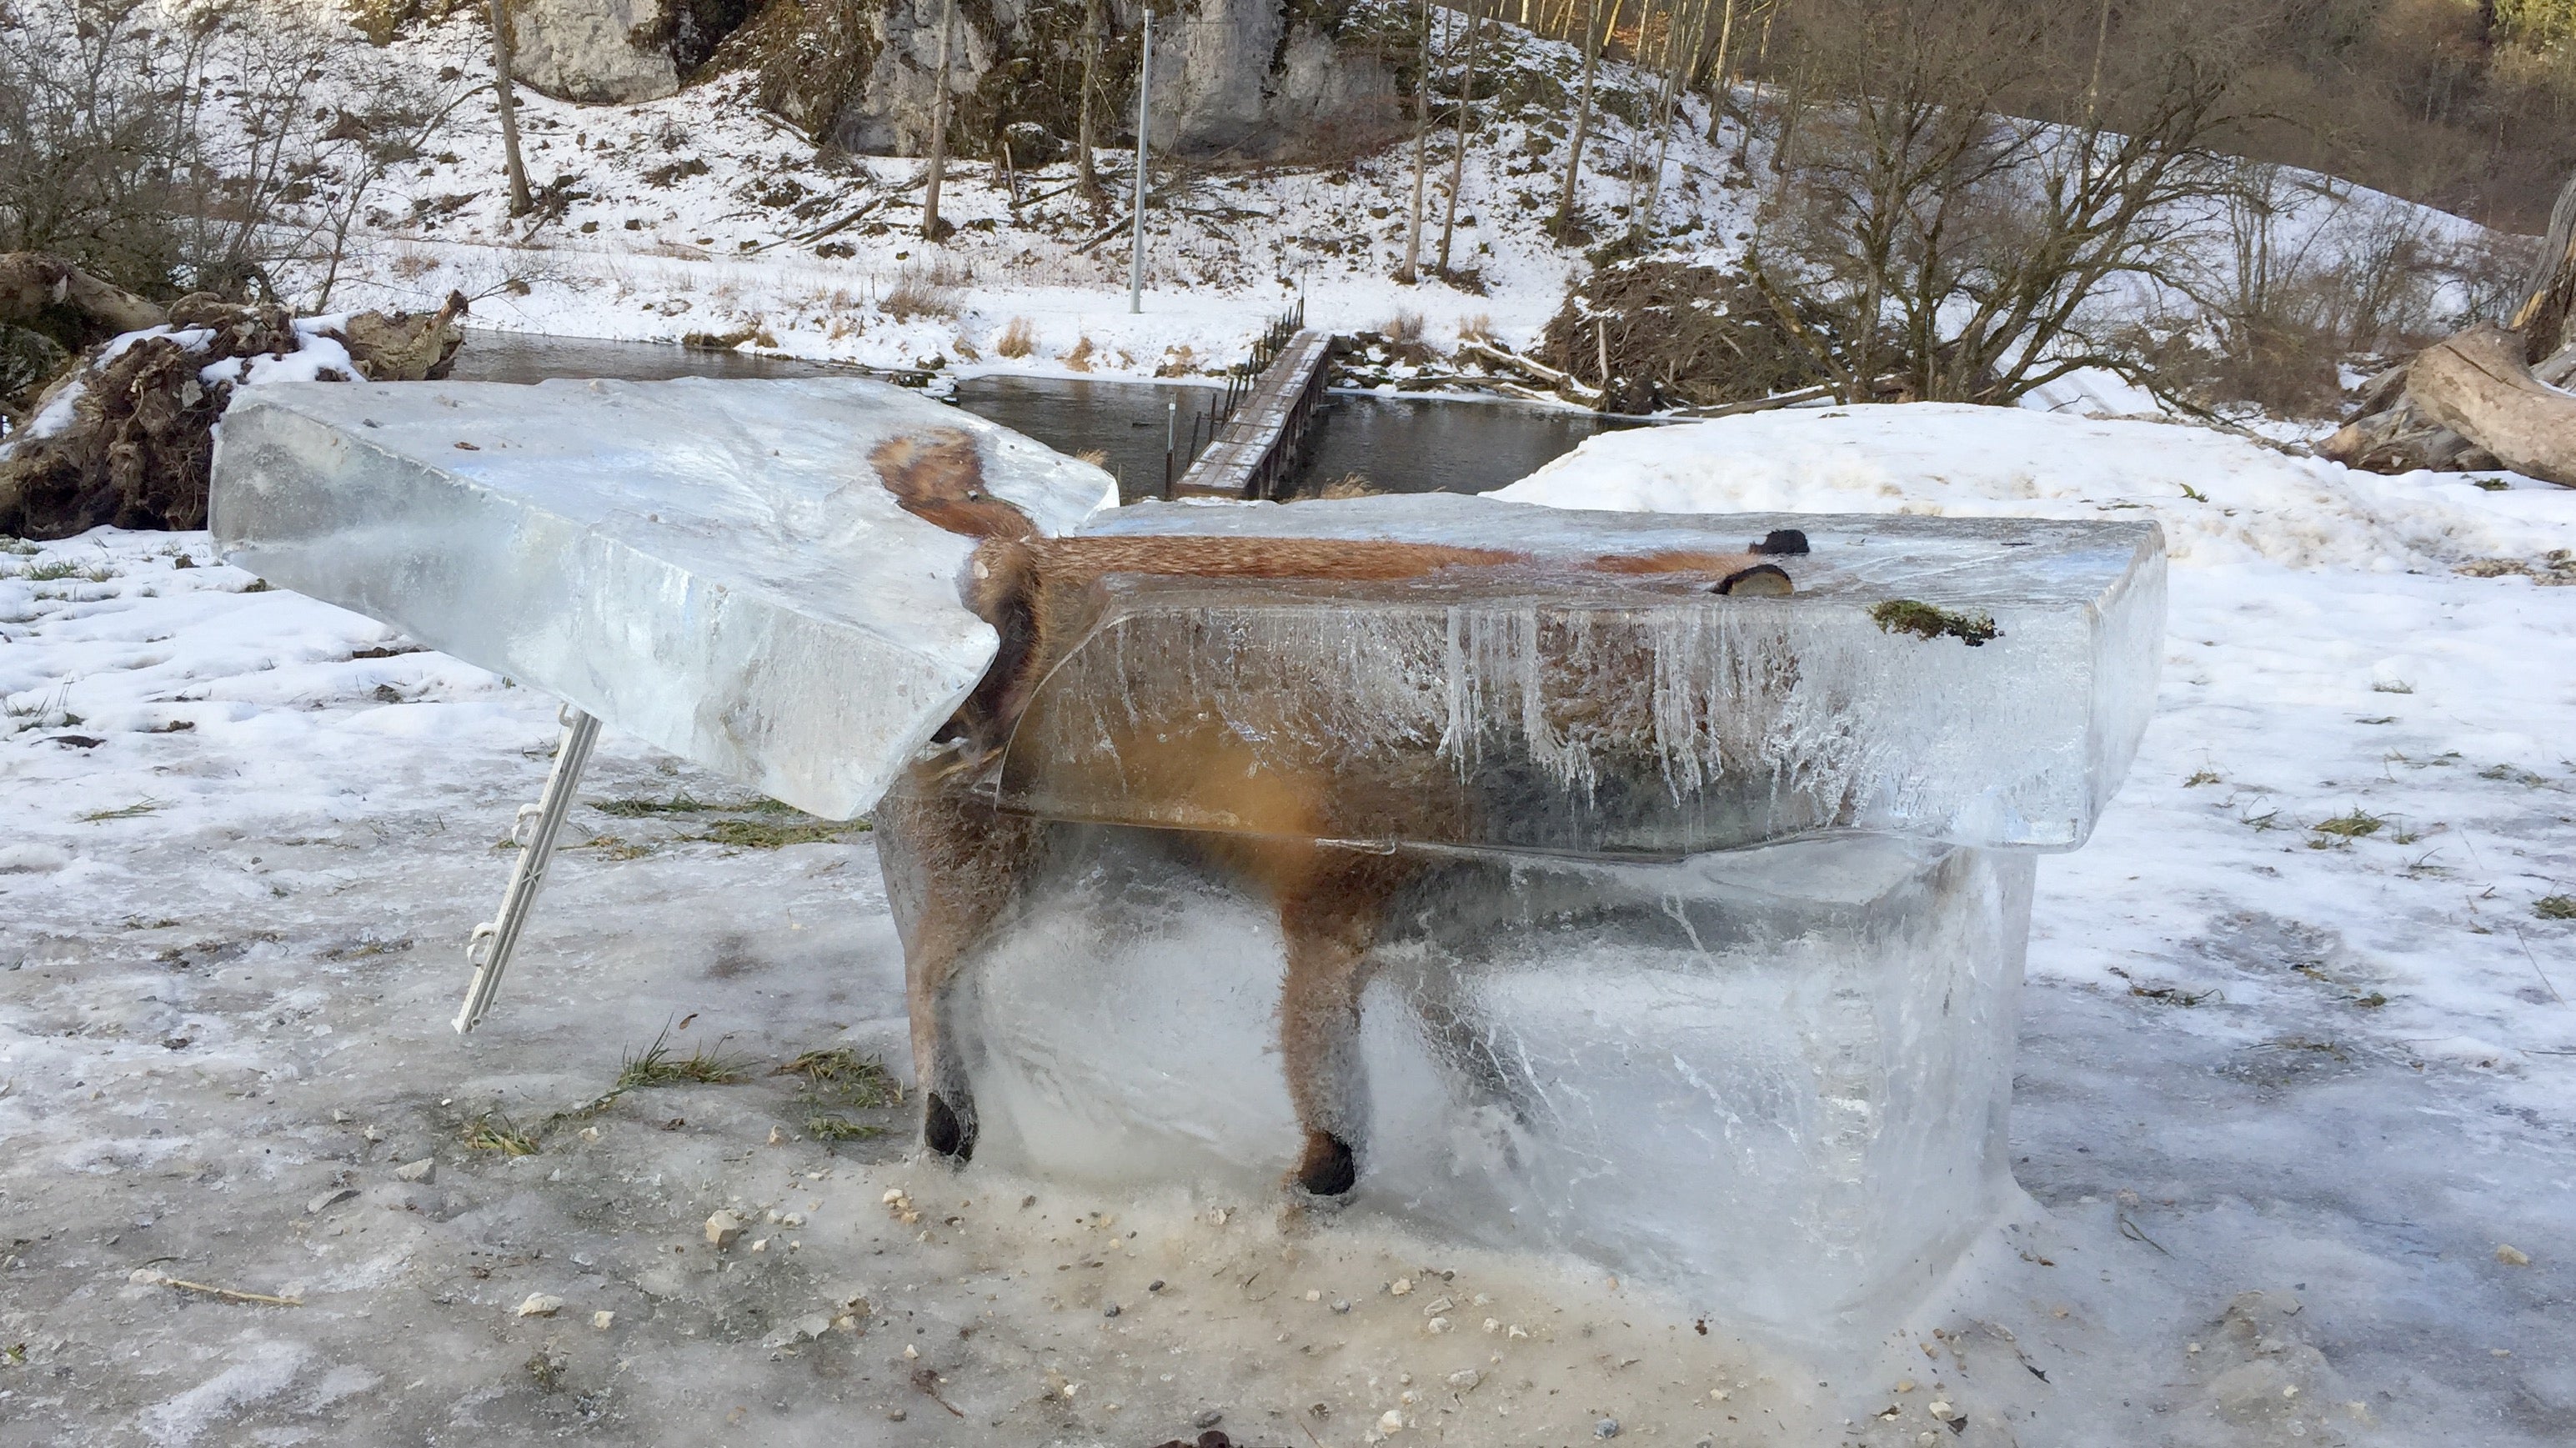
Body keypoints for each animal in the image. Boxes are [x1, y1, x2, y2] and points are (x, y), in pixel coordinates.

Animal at [868, 427, 1801, 1197]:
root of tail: (1031, 554)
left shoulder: (1435, 946)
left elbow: (1492, 1074)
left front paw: (1509, 1149)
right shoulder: (1329, 918)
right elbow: (1339, 1127)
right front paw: (1320, 1191)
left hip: (1112, 896)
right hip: (1011, 878)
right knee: (930, 976)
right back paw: (950, 1120)